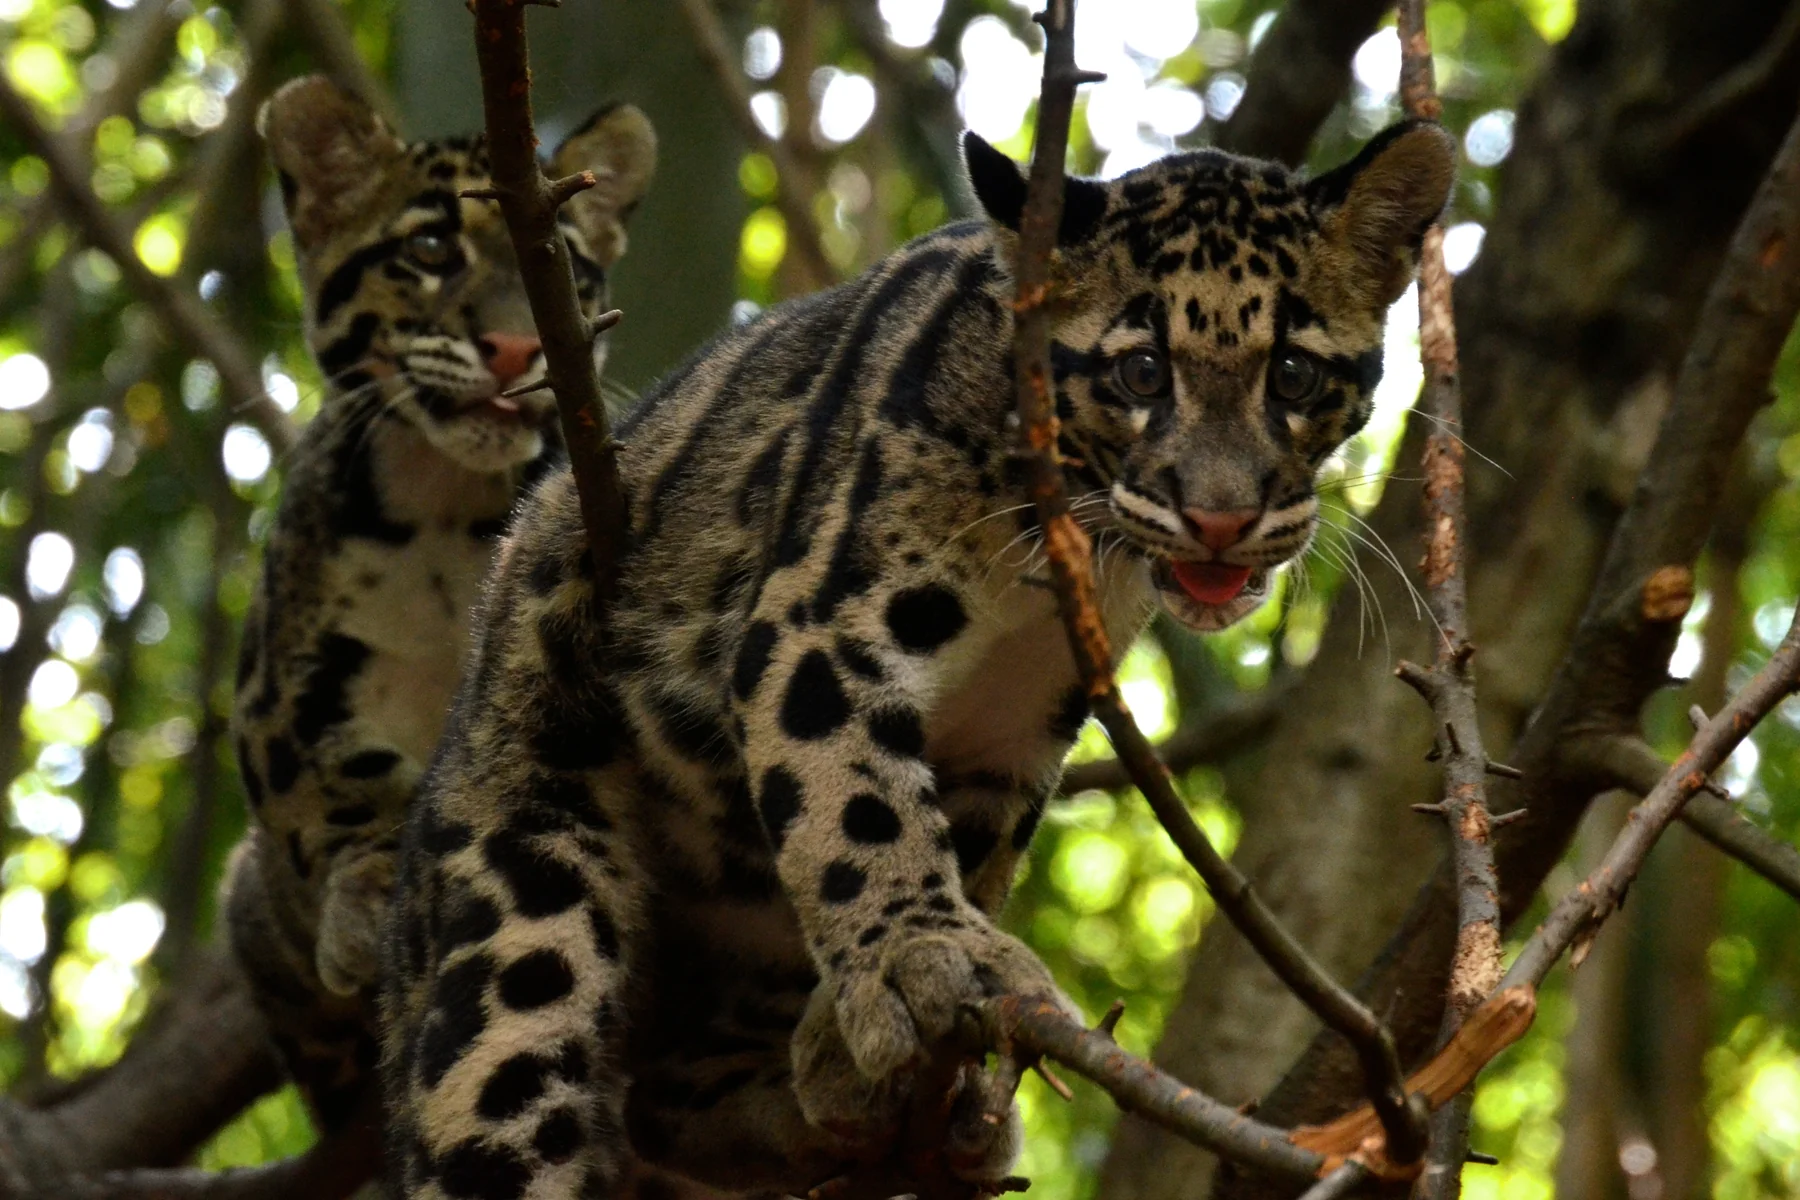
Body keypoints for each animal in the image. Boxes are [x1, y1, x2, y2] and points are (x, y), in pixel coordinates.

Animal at [221, 73, 655, 1134]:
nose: (515, 345)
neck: (447, 504)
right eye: (427, 251)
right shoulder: (284, 688)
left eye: (567, 267)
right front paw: (376, 888)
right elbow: (339, 785)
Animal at [379, 120, 1454, 1199]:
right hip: (521, 874)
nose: (1222, 517)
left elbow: (955, 844)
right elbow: (855, 802)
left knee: (664, 1102)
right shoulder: (819, 619)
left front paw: (869, 1036)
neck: (1054, 547)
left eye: (1296, 375)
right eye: (1143, 372)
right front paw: (923, 956)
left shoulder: (1008, 734)